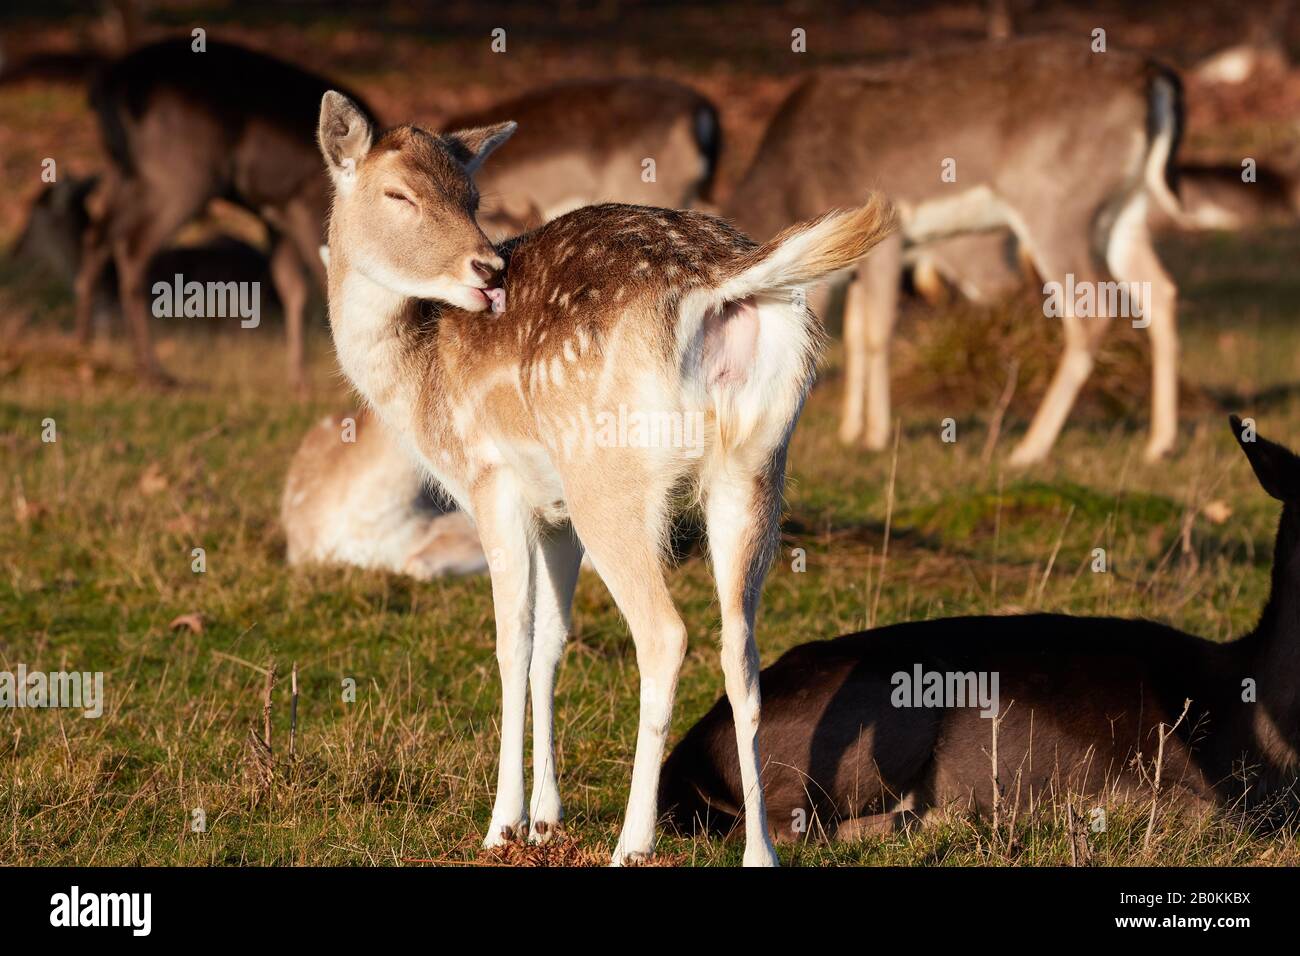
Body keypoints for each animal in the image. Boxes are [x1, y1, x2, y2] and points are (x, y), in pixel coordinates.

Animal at [314, 89, 895, 865]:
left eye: (470, 195)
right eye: (399, 193)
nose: (485, 270)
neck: (420, 383)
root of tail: (722, 287)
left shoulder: (492, 479)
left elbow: (514, 643)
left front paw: (503, 825)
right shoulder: (555, 511)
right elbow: (551, 648)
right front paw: (547, 819)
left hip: (613, 477)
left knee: (666, 635)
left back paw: (632, 840)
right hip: (755, 469)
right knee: (741, 649)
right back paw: (760, 851)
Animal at [725, 37, 1184, 466]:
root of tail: (1150, 74)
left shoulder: (889, 236)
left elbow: (876, 332)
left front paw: (874, 437)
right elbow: (852, 332)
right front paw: (849, 431)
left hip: (1054, 205)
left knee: (1093, 309)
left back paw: (1029, 449)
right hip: (1126, 207)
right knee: (1159, 290)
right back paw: (1158, 444)